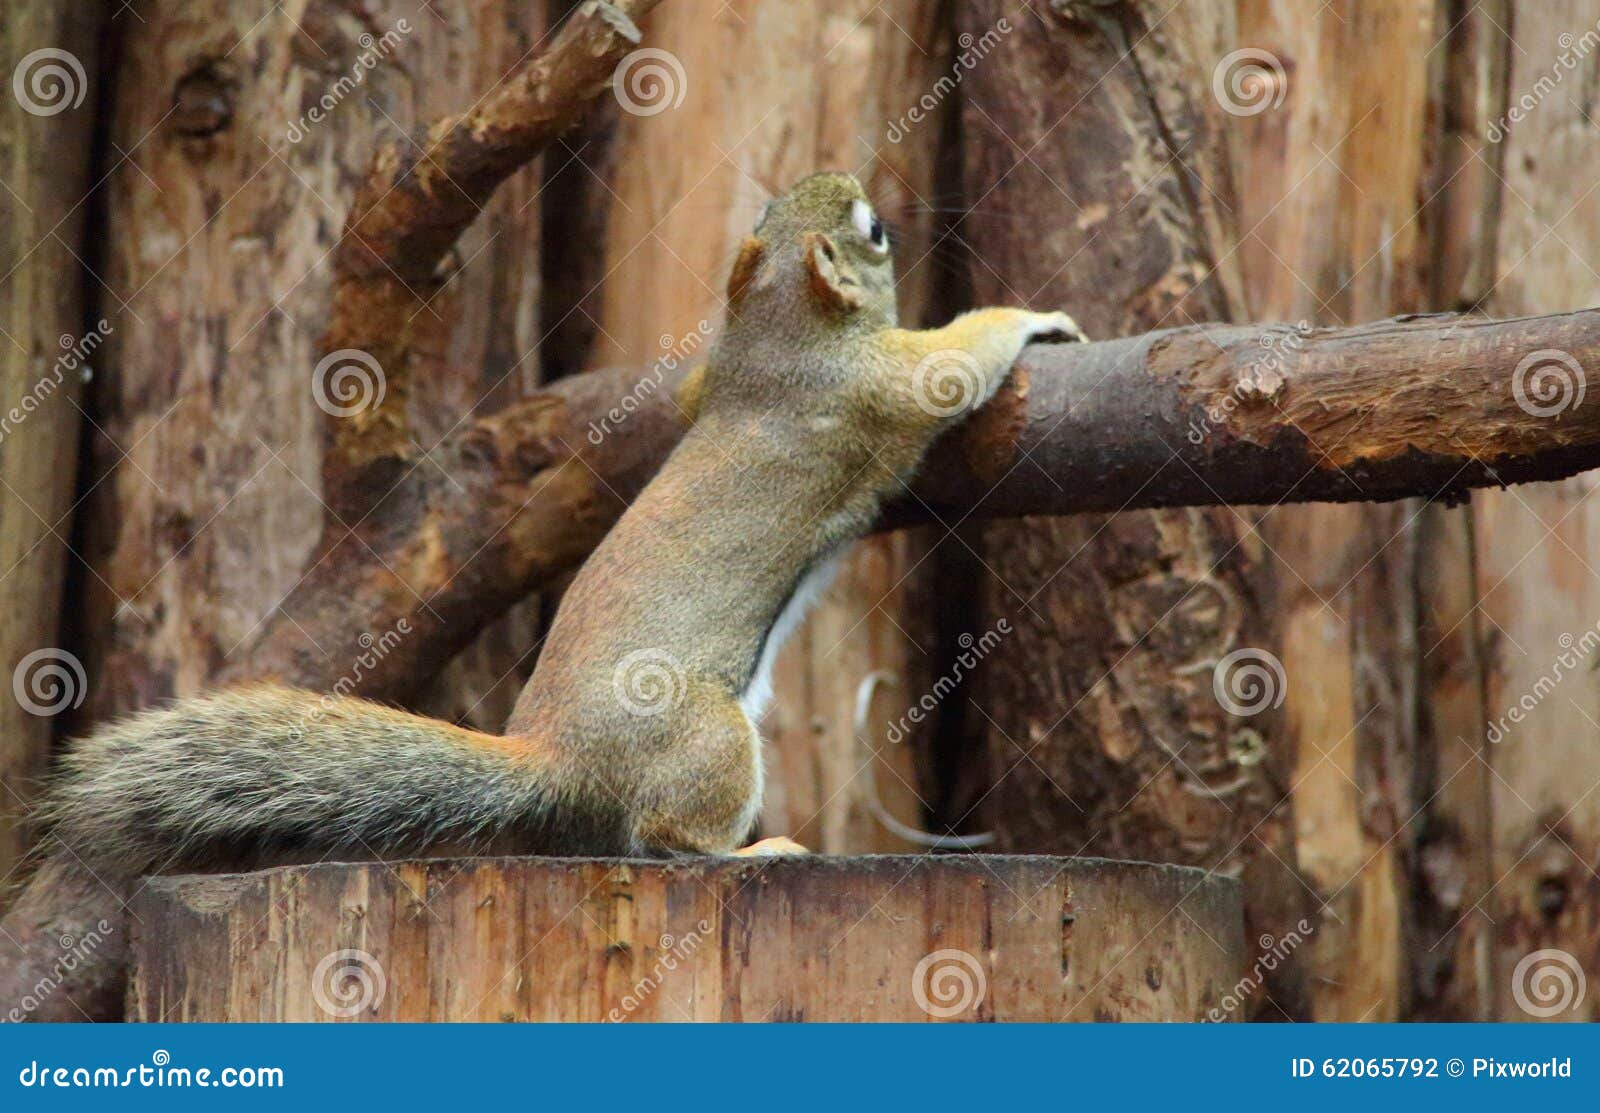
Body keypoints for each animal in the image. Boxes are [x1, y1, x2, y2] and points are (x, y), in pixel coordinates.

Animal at [44, 171, 1086, 873]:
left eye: (765, 220)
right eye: (868, 229)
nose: (877, 197)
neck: (775, 337)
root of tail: (555, 762)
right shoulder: (880, 384)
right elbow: (962, 354)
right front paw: (1041, 319)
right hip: (711, 738)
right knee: (665, 836)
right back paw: (750, 851)